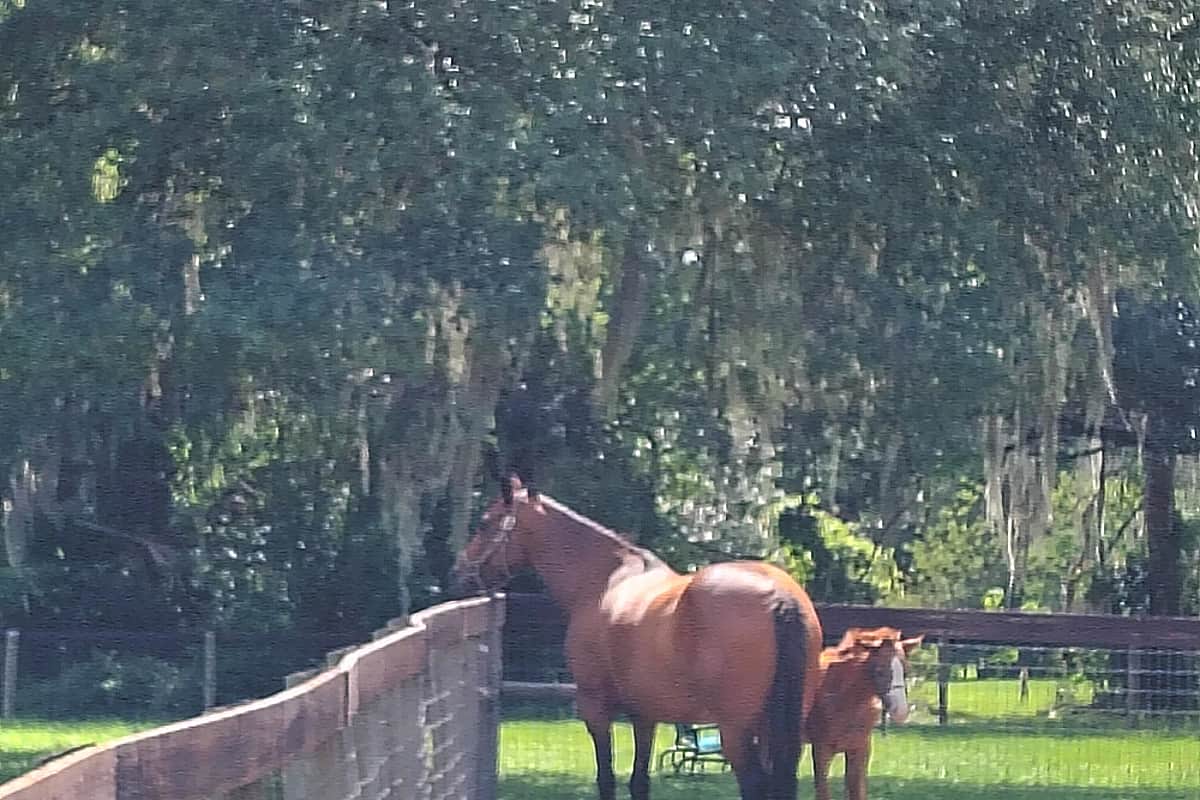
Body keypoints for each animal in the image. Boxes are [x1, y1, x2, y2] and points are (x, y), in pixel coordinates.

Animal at [451, 475, 823, 800]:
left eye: (485, 522)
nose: (461, 573)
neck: (603, 581)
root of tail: (779, 597)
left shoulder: (595, 708)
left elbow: (606, 779)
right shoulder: (644, 715)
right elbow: (639, 781)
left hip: (736, 730)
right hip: (776, 729)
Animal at [807, 627, 923, 800]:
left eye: (906, 670)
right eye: (880, 671)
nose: (900, 712)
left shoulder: (860, 749)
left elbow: (857, 792)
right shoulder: (821, 750)